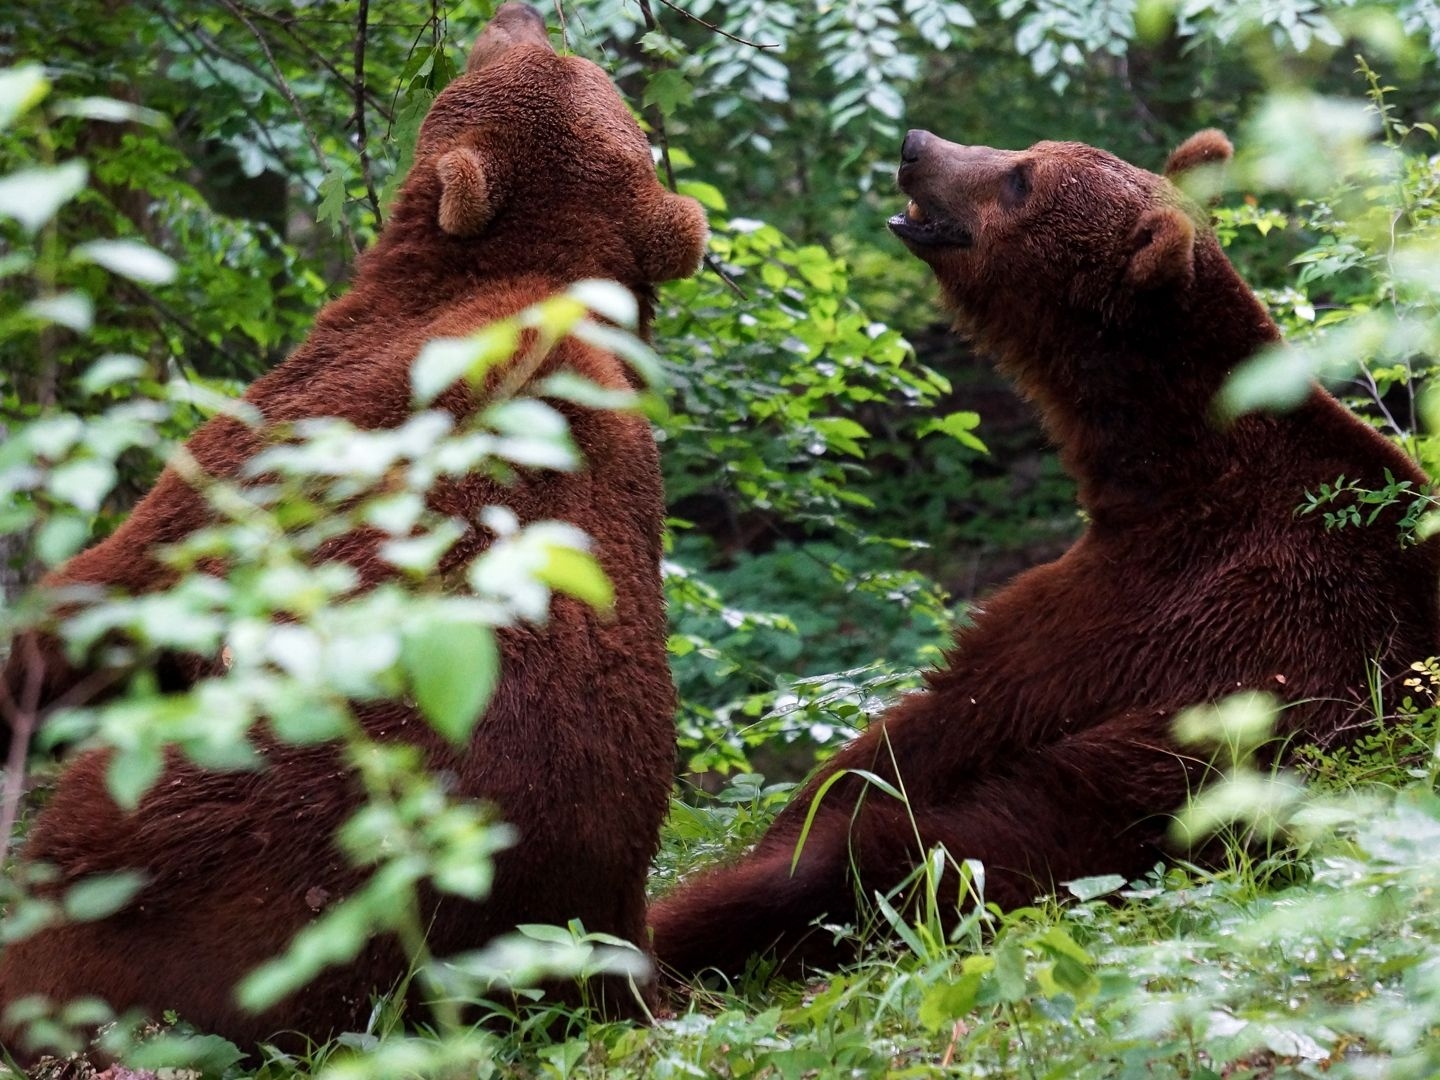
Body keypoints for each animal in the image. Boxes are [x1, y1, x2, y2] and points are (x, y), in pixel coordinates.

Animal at [0, 2, 707, 1060]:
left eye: (511, 58)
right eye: (577, 65)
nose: (518, 13)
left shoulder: (311, 419)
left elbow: (124, 586)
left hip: (204, 846)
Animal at [647, 128, 1440, 980]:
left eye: (1021, 180)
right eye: (1027, 150)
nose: (916, 145)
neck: (1174, 465)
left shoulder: (1148, 604)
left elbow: (935, 721)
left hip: (1157, 783)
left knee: (893, 865)